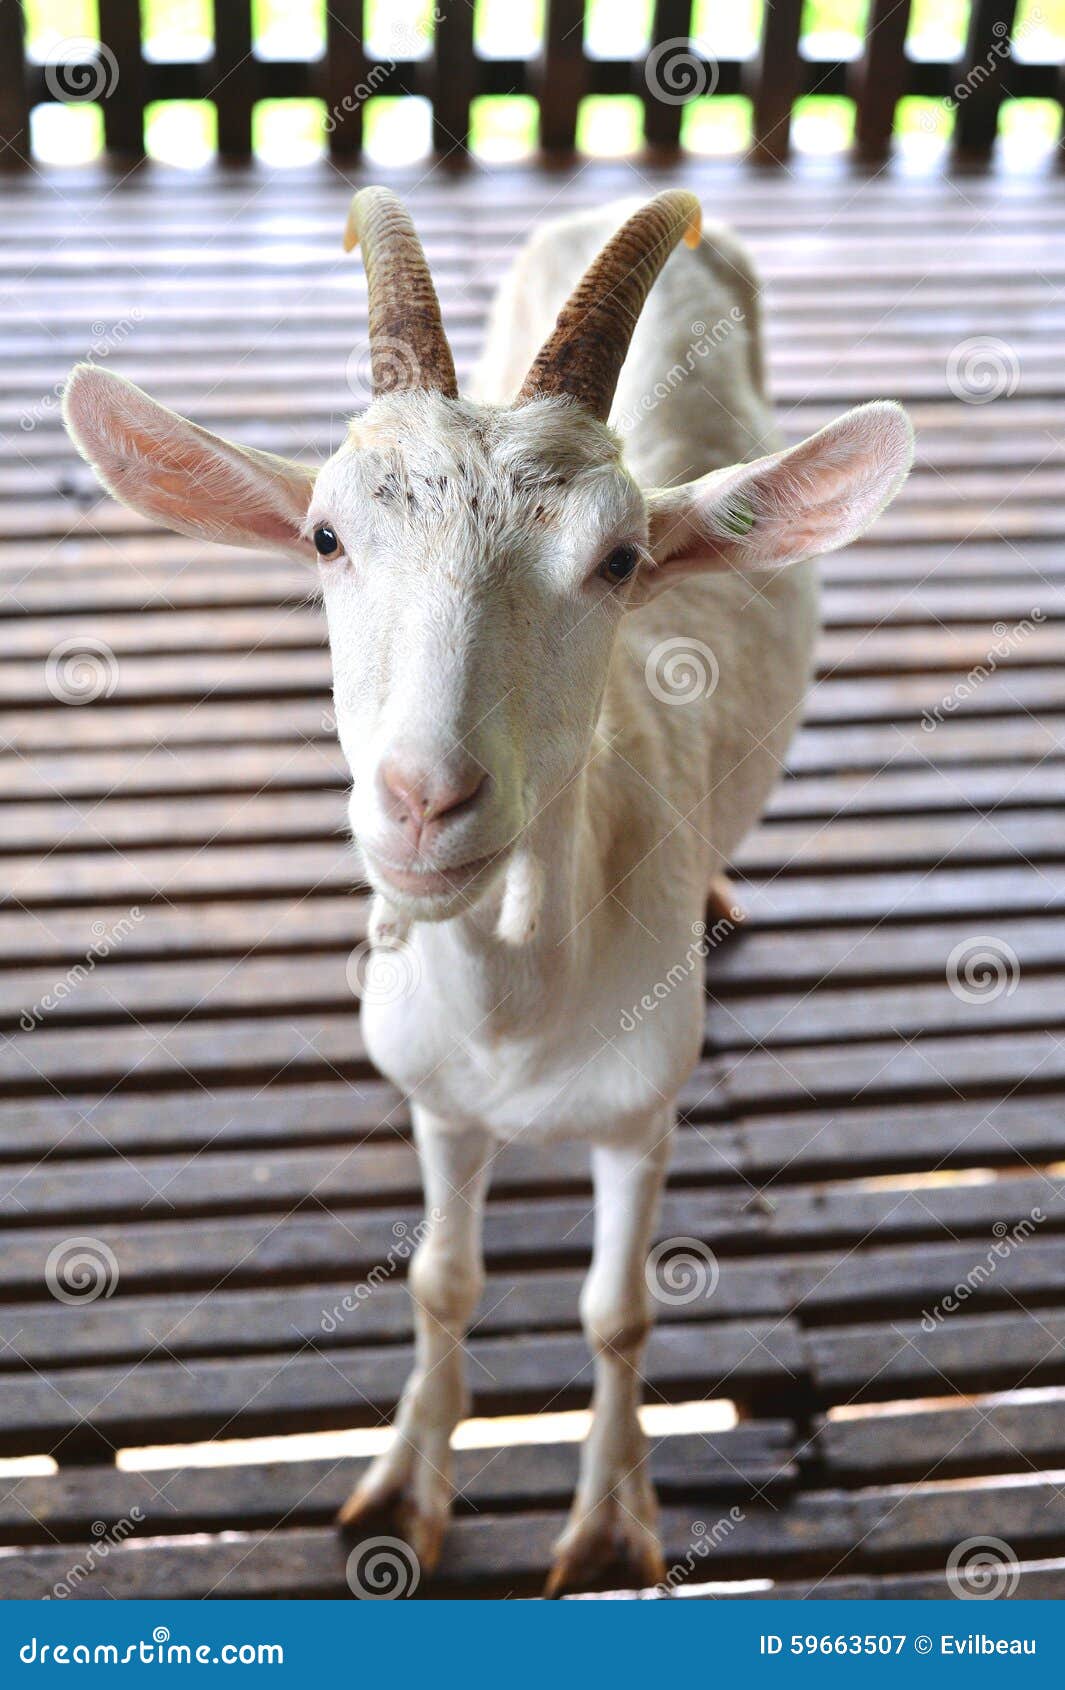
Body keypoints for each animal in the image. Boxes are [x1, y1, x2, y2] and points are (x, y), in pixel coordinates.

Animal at [63, 187, 913, 1595]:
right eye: (327, 536)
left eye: (621, 558)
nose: (423, 801)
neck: (521, 1010)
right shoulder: (440, 1104)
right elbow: (441, 1285)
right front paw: (405, 1492)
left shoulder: (641, 1114)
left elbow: (618, 1310)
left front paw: (612, 1525)